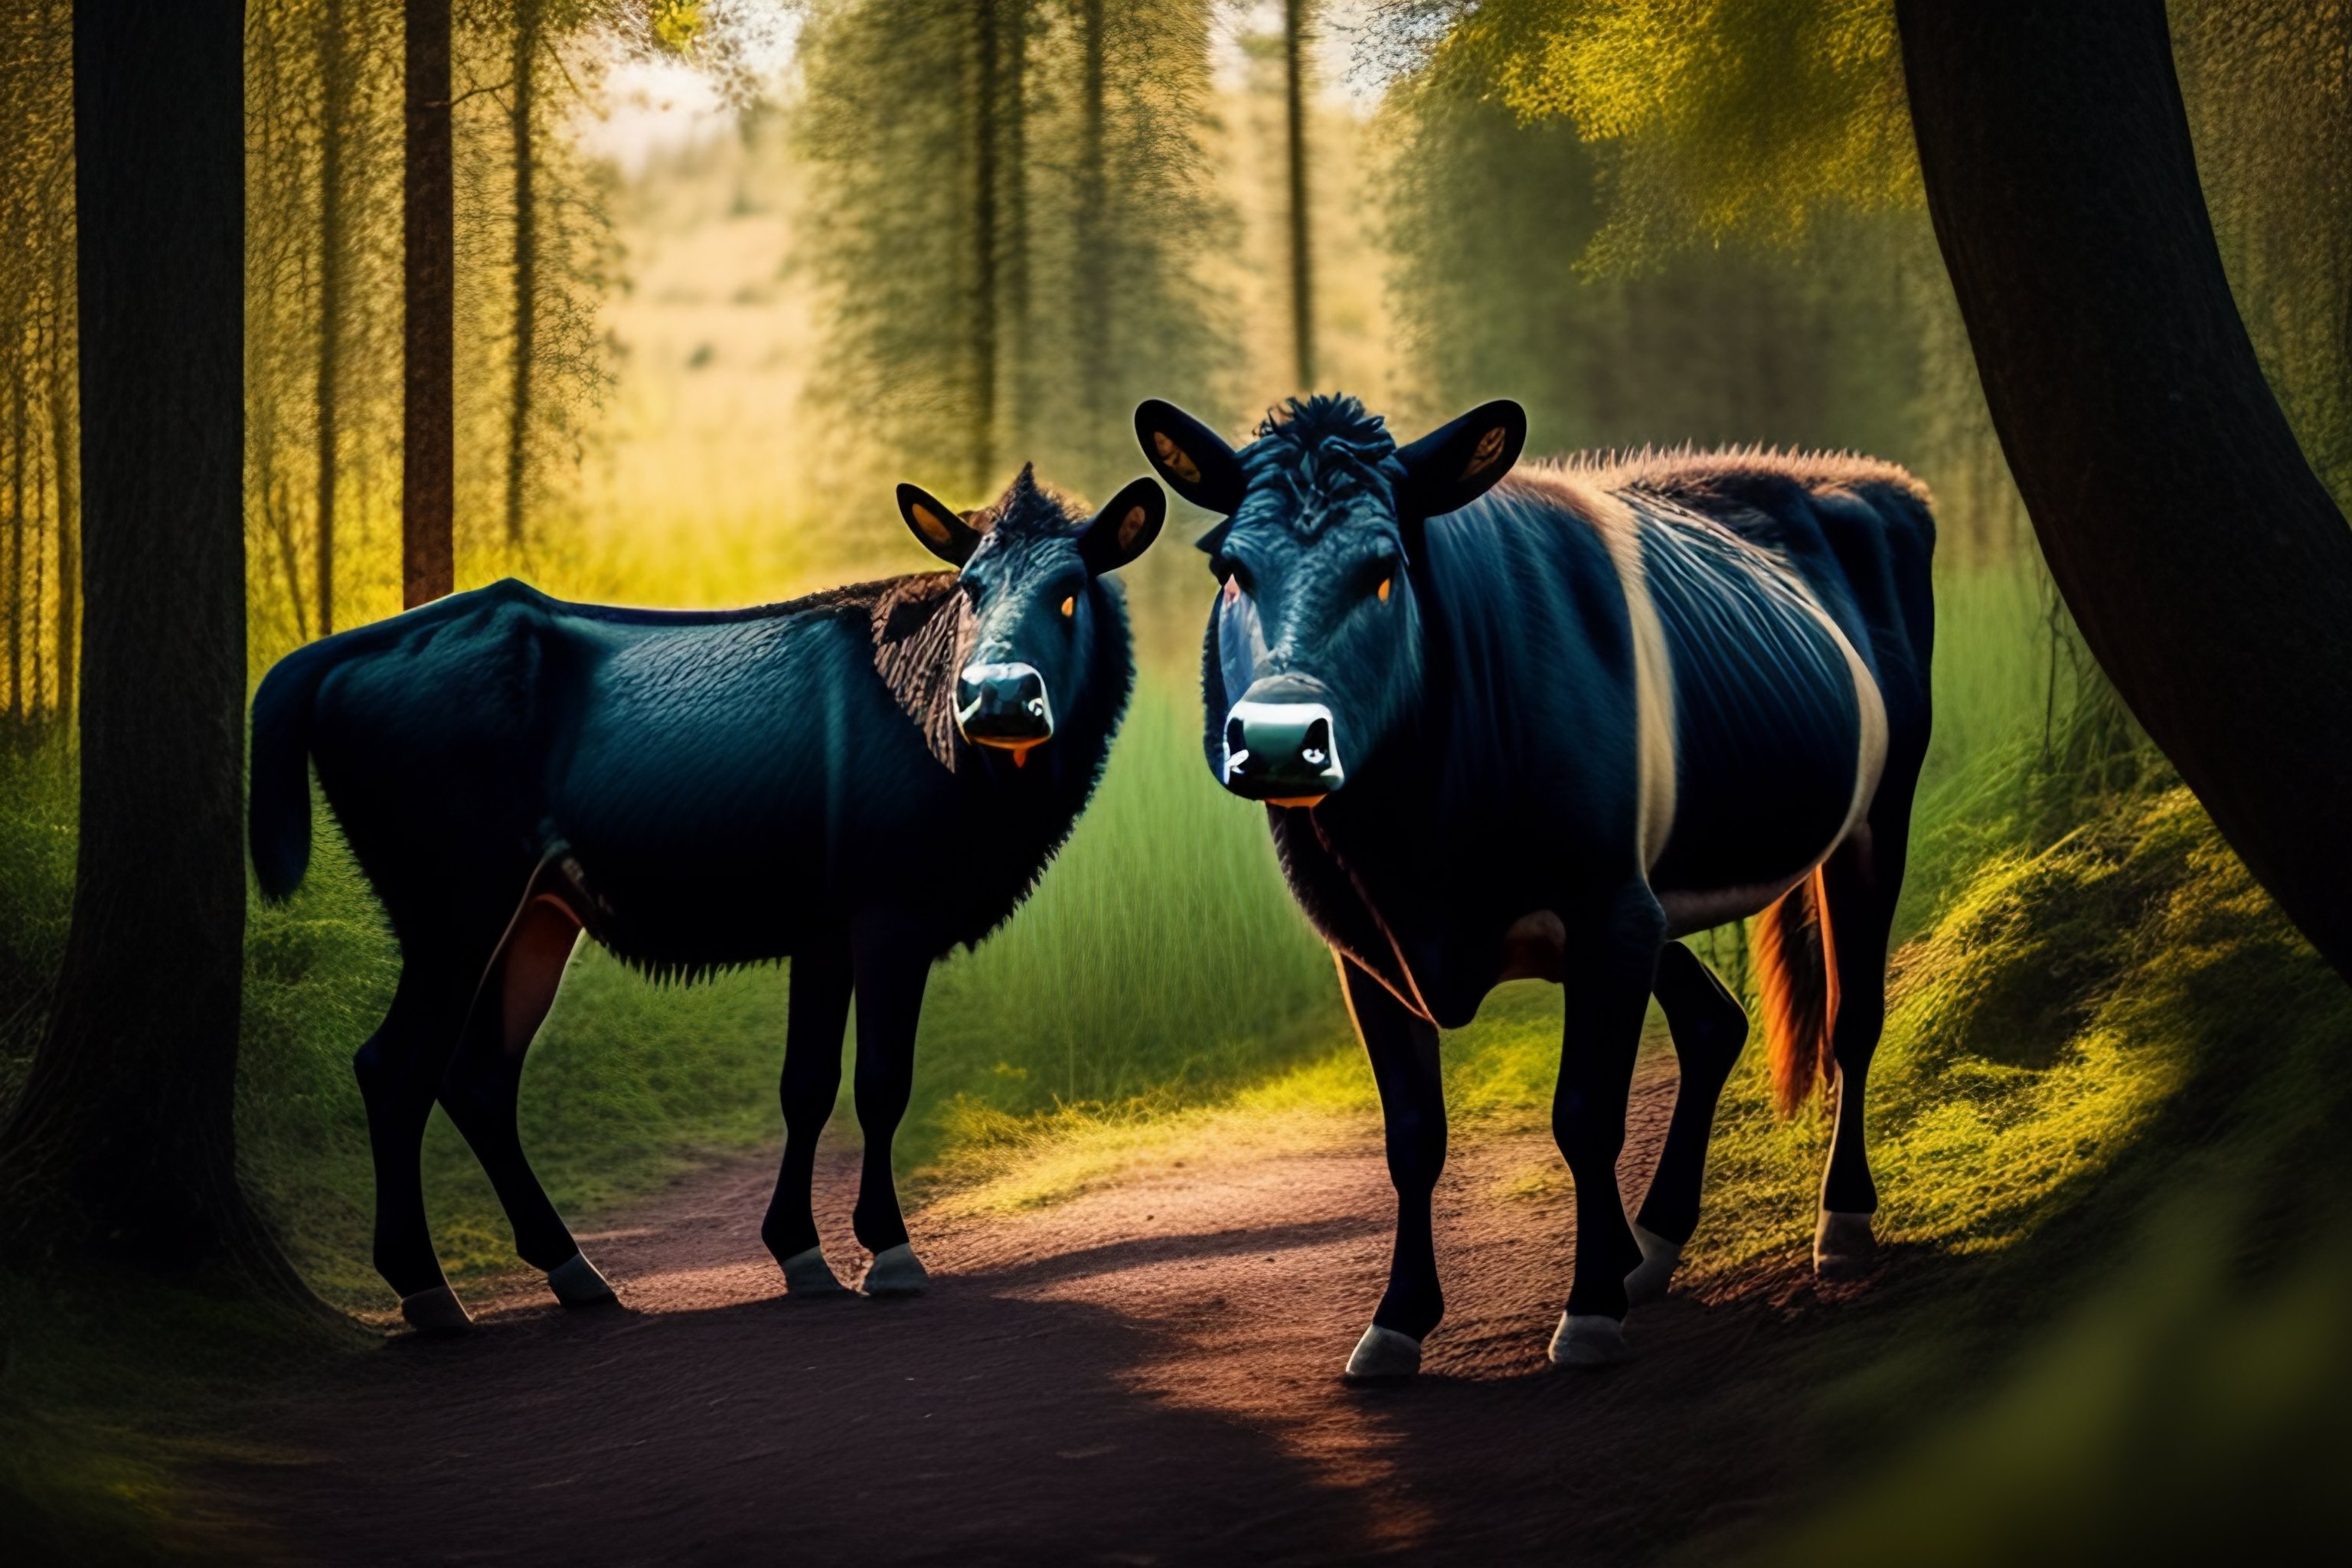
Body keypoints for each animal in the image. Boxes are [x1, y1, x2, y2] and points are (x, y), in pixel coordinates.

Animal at [248, 467, 1165, 1332]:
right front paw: (889, 1251)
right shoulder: (890, 908)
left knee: (479, 1074)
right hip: (450, 896)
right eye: (970, 585)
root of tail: (337, 653)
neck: (992, 804)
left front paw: (800, 1250)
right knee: (394, 1064)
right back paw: (427, 1288)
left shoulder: (824, 925)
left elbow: (807, 1084)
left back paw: (573, 1270)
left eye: (1070, 588)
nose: (1000, 695)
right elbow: (880, 1080)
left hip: (538, 911)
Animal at [1135, 393, 1933, 1379]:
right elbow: (1413, 1135)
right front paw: (1397, 1321)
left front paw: (1586, 1312)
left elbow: (1585, 1114)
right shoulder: (1362, 946)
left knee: (1854, 1017)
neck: (1415, 857)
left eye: (1386, 569)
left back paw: (1842, 1225)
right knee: (1716, 1020)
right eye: (1231, 567)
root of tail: (1859, 474)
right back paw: (1647, 1247)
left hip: (1875, 814)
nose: (1282, 740)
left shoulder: (1609, 912)